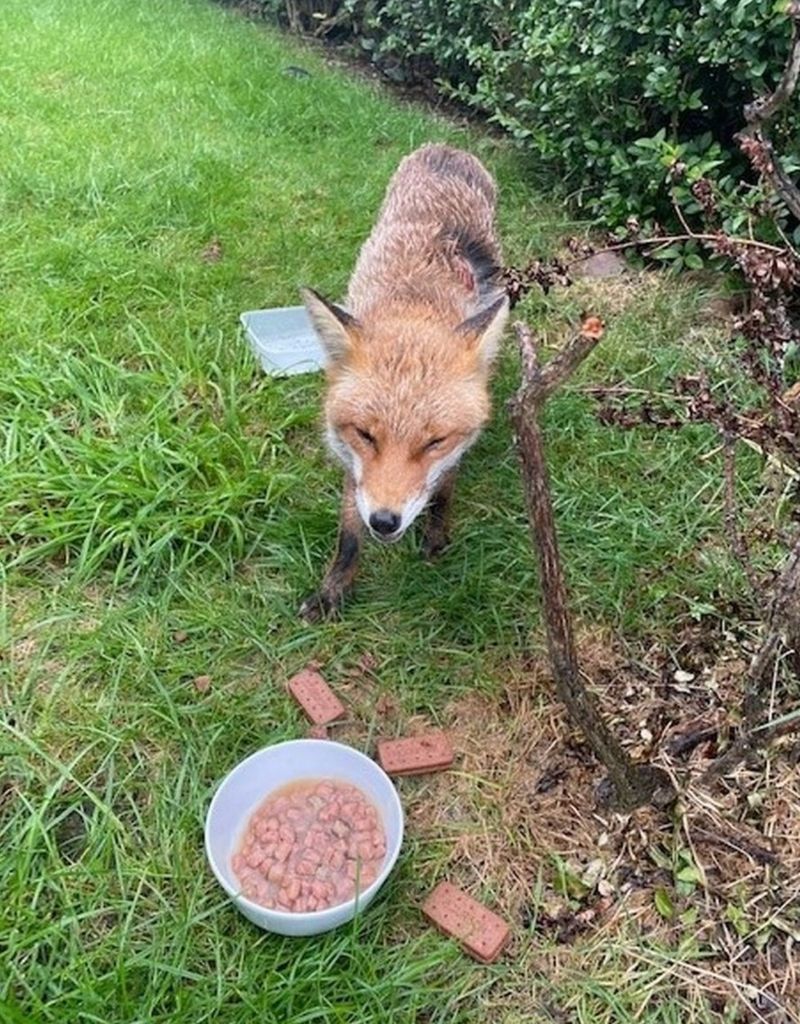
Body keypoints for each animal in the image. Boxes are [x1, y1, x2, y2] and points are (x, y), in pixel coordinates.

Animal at [299, 143, 509, 621]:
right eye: (365, 435)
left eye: (434, 442)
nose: (385, 521)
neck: (415, 300)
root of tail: (446, 148)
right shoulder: (351, 460)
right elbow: (348, 532)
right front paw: (333, 589)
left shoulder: (454, 449)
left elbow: (443, 487)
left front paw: (435, 534)